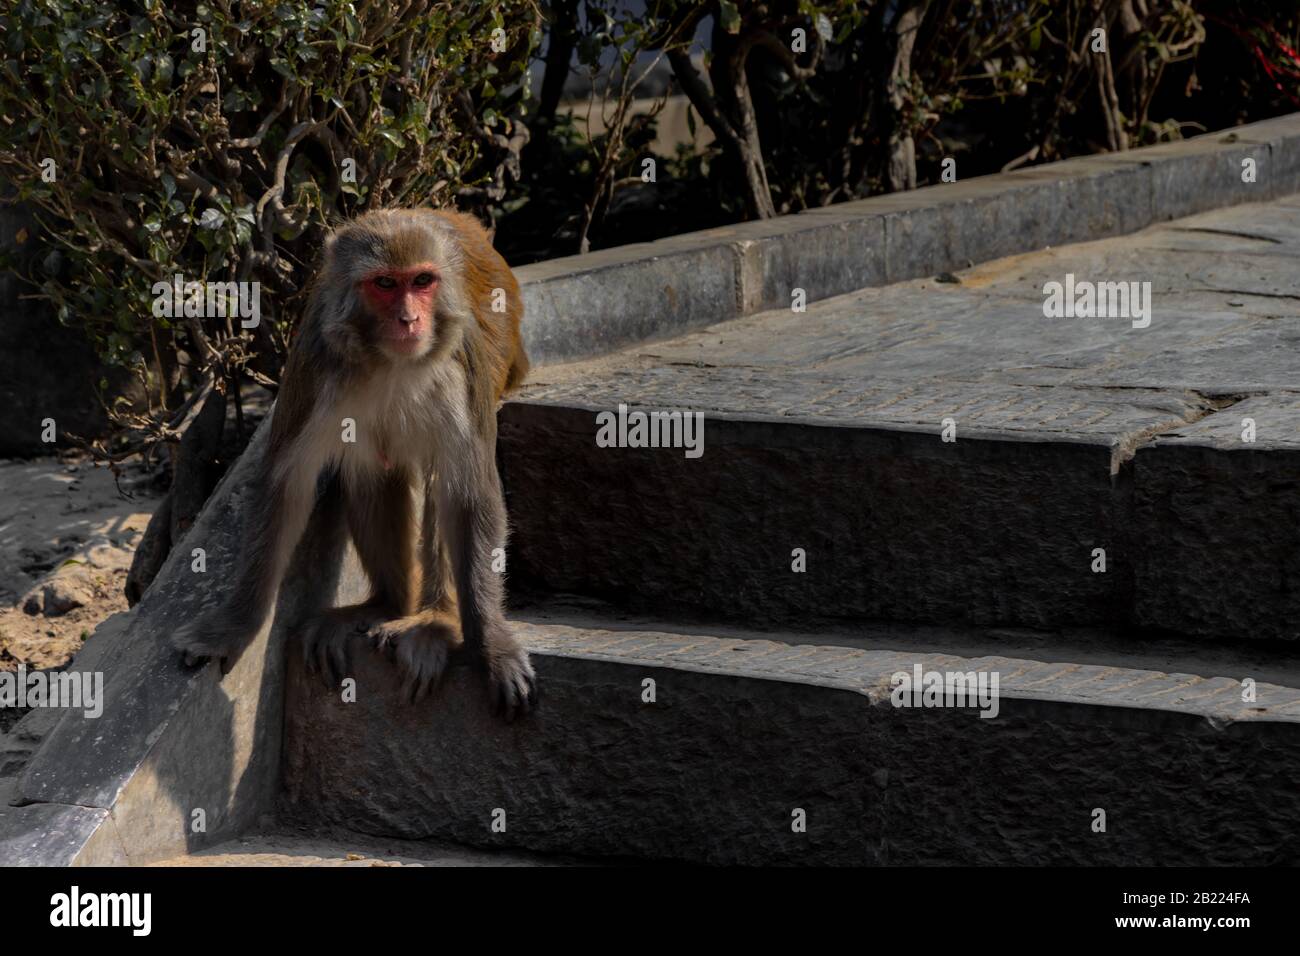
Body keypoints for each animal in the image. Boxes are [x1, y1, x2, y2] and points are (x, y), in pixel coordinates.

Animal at [170, 208, 536, 719]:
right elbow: (287, 483)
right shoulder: (315, 358)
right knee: (368, 465)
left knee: (440, 480)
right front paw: (234, 625)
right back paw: (385, 605)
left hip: (503, 356)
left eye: (422, 281)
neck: (387, 361)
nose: (409, 319)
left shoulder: (462, 363)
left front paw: (493, 645)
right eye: (384, 283)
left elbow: (467, 495)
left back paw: (433, 622)